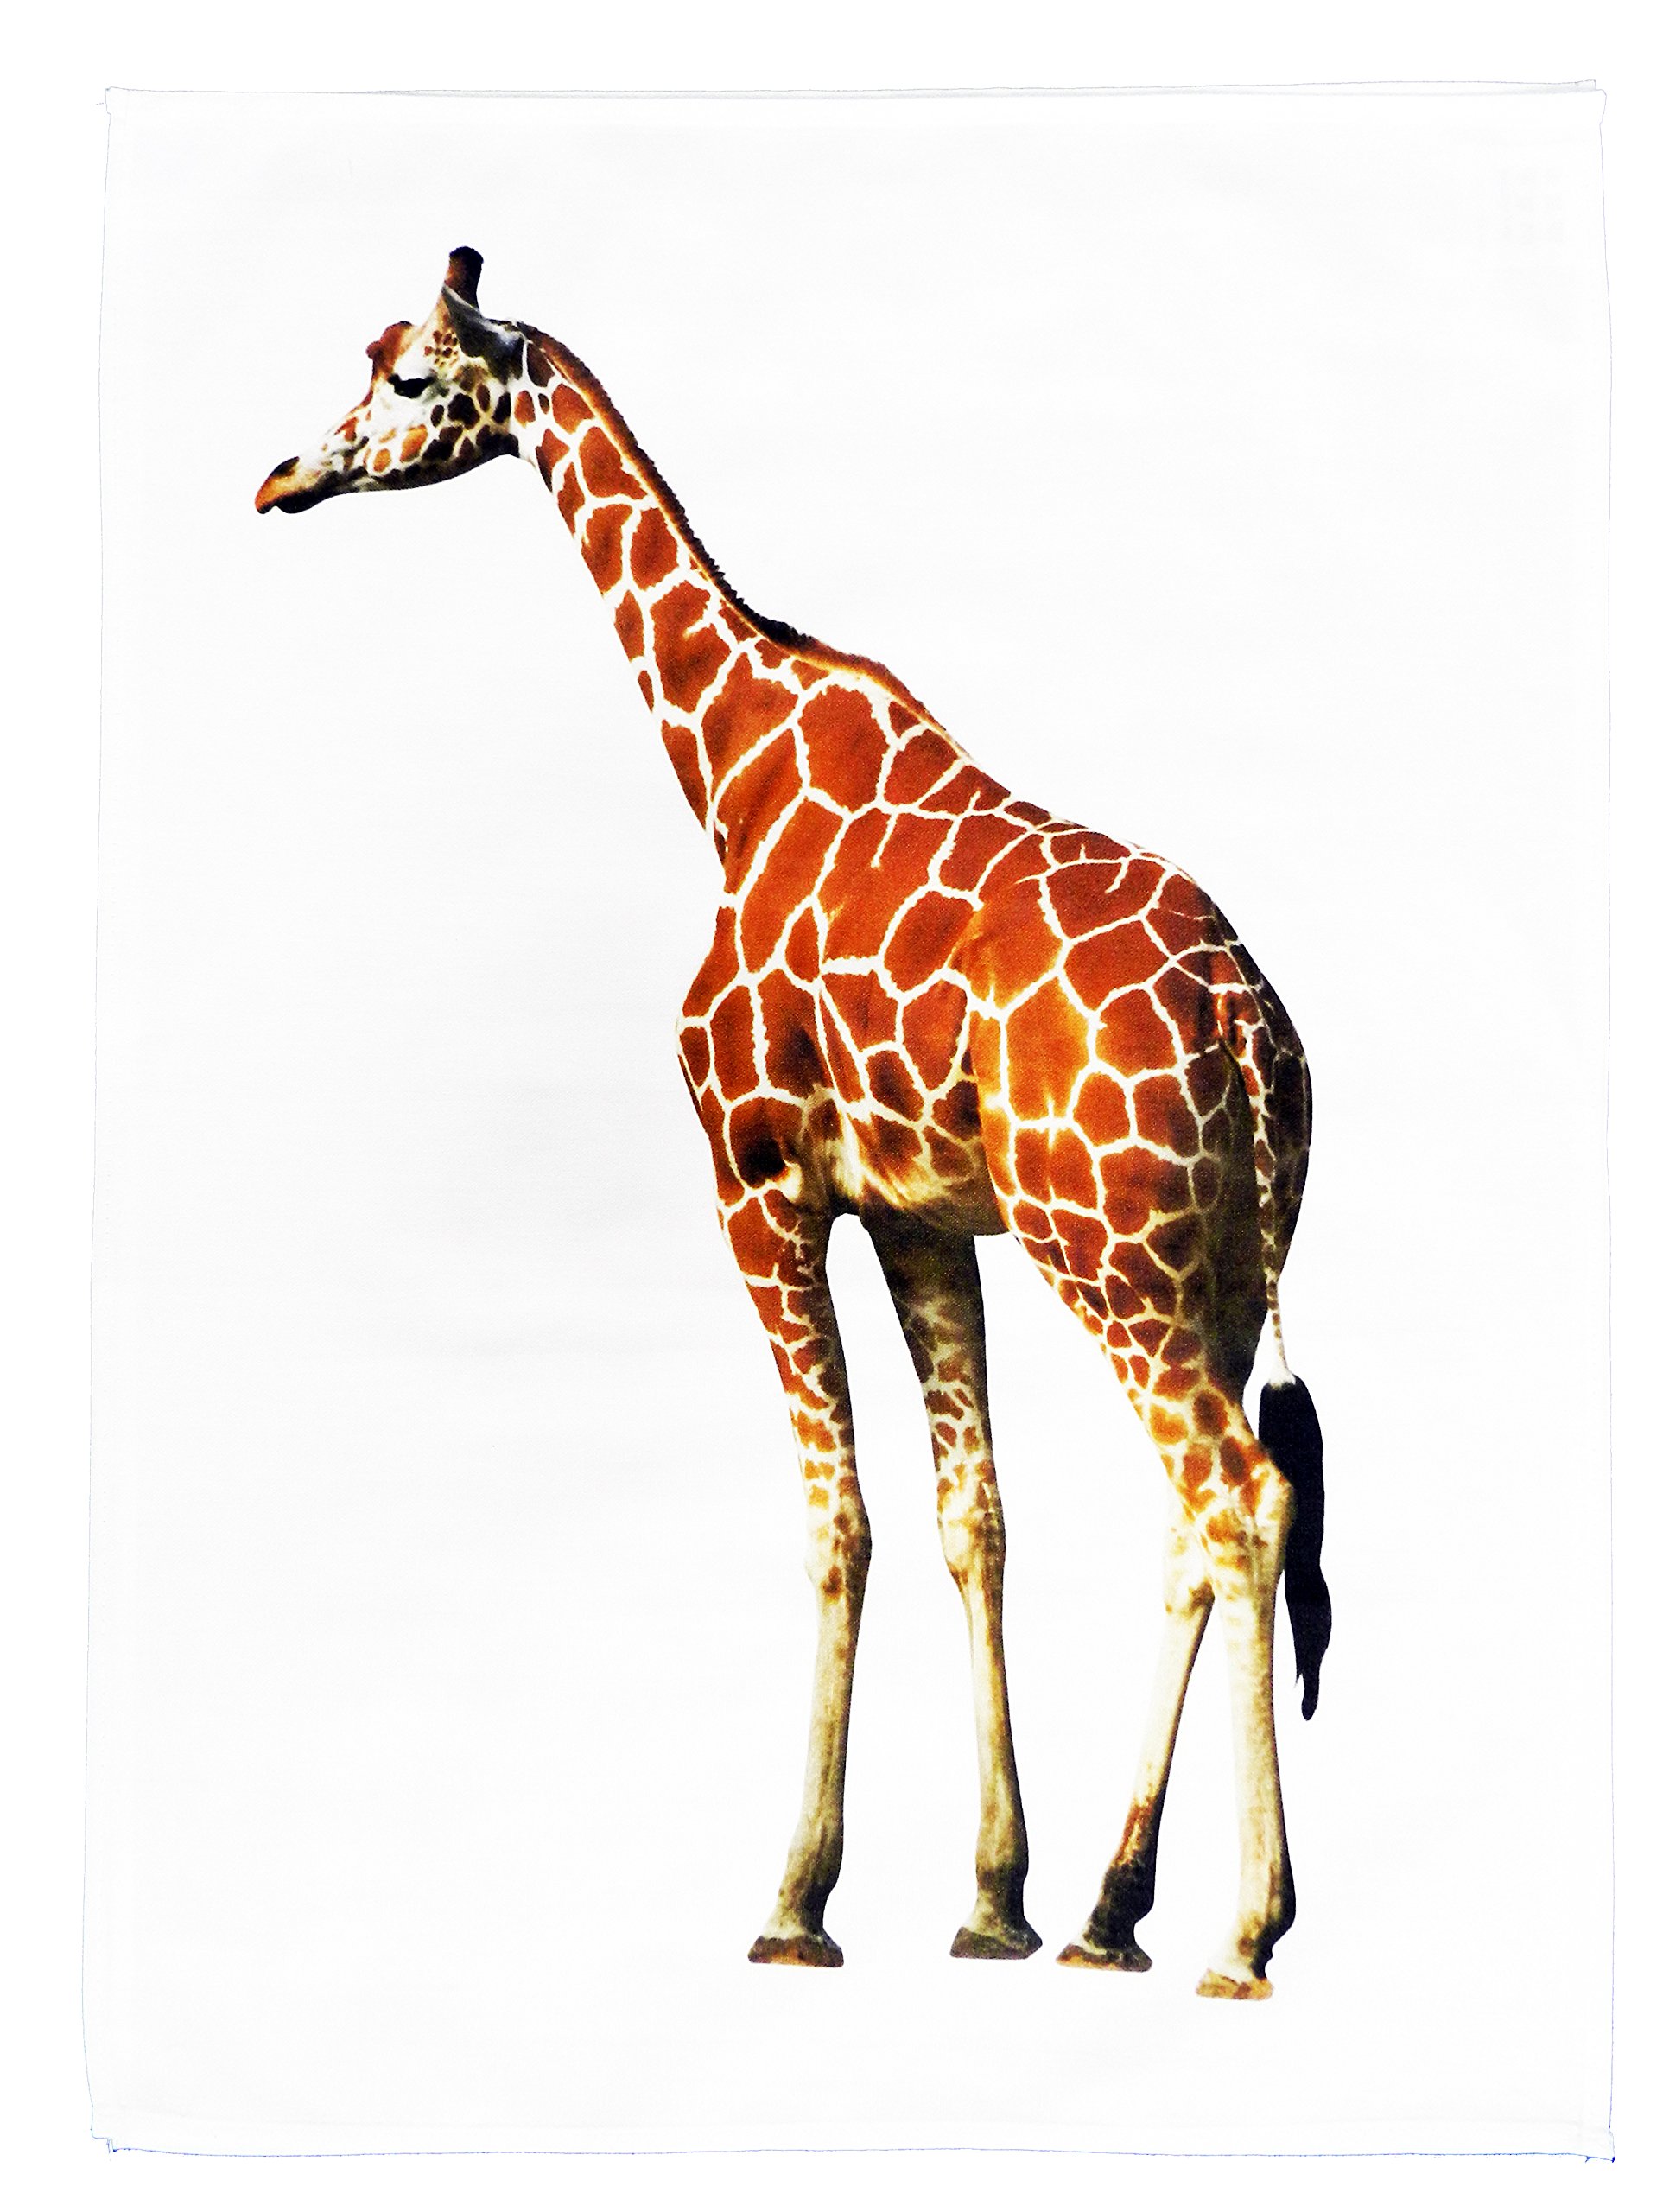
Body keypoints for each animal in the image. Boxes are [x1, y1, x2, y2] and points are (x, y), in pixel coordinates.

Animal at [257, 248, 1331, 1998]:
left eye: (409, 378)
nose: (283, 474)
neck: (730, 768)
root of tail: (1244, 1024)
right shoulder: (918, 1218)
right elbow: (973, 1519)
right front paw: (992, 1897)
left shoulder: (753, 1182)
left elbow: (841, 1521)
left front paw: (795, 1899)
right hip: (1223, 1267)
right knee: (1202, 1513)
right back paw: (1112, 1912)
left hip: (1108, 1255)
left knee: (1240, 1497)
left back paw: (1243, 1932)